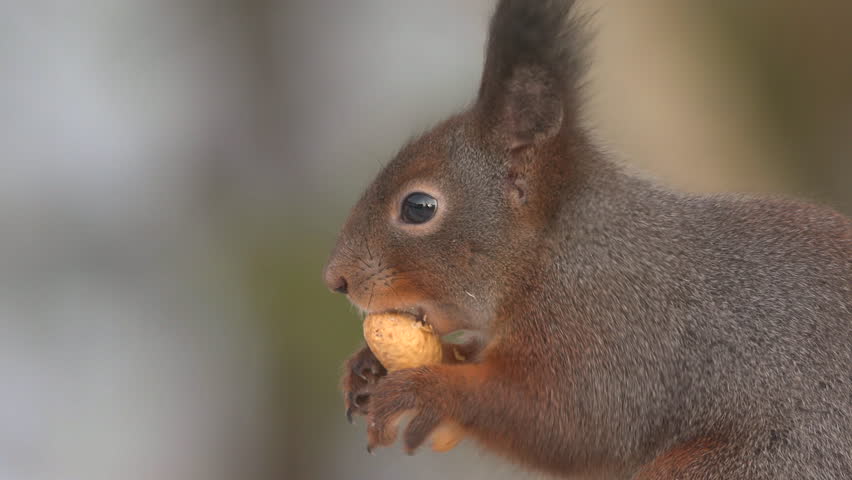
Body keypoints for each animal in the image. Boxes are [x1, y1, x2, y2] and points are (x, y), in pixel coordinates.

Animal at [323, 0, 852, 478]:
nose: (336, 280)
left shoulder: (617, 332)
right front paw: (368, 367)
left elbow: (570, 425)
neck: (557, 252)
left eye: (418, 207)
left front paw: (424, 391)